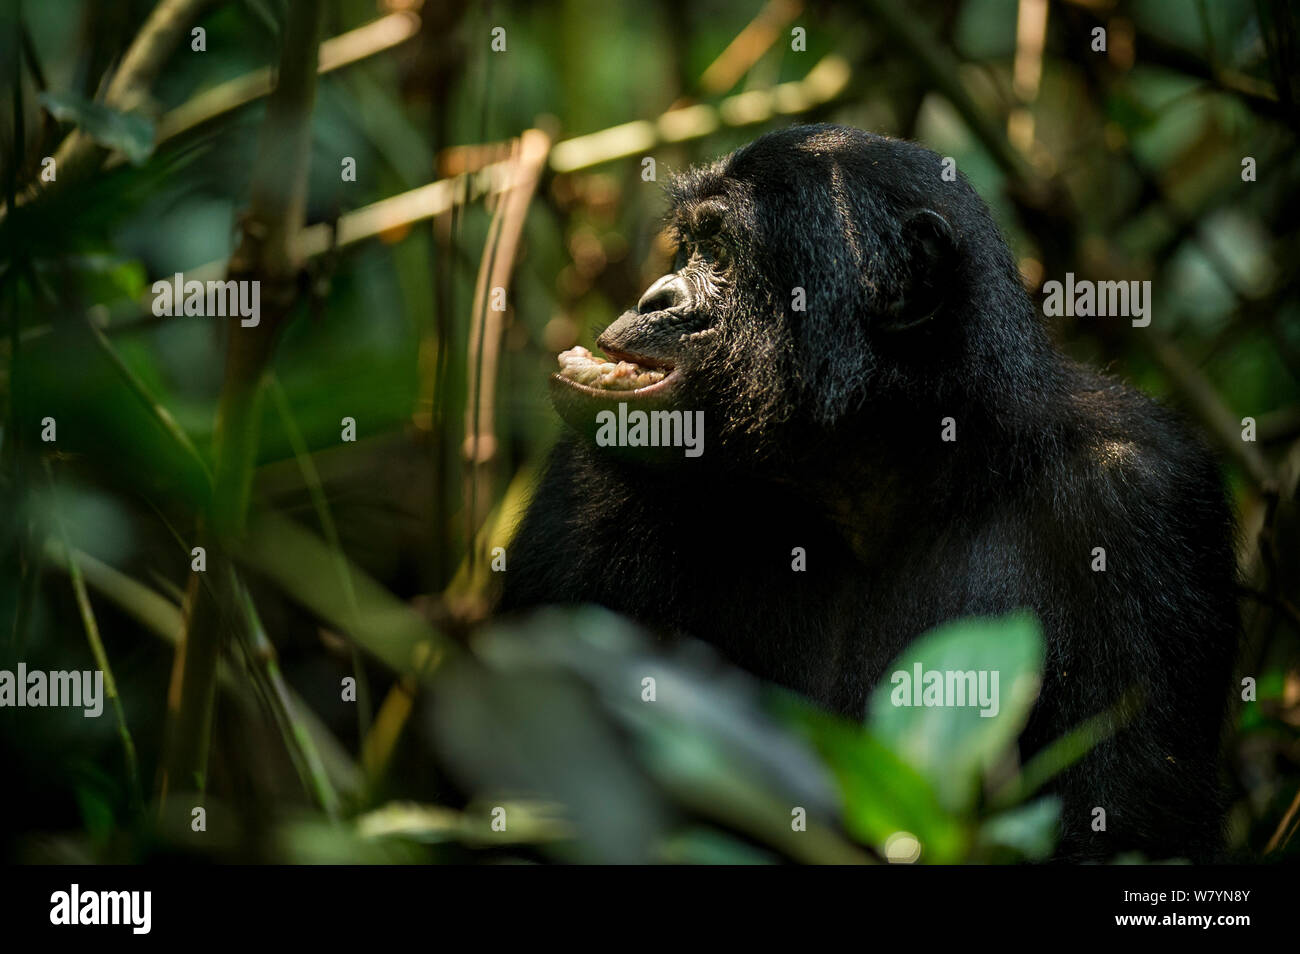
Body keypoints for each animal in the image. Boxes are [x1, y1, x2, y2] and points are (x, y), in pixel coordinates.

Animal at [498, 124, 1239, 862]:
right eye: (692, 246)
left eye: (721, 253)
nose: (656, 297)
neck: (873, 481)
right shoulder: (589, 482)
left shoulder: (1147, 500)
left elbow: (1131, 812)